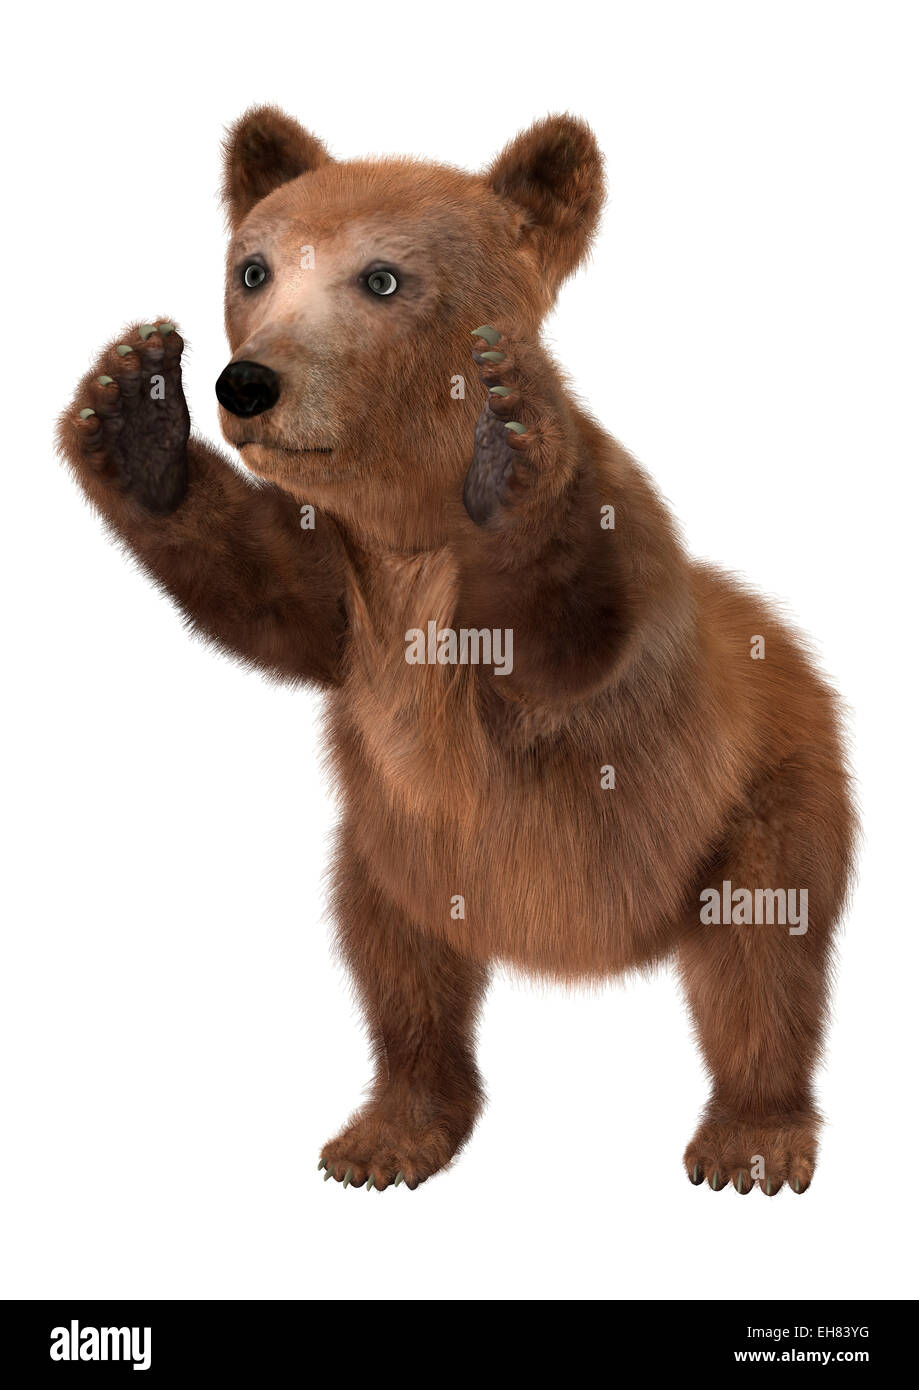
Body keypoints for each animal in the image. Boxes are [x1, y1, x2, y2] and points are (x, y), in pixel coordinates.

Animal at [58, 107, 855, 1195]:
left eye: (383, 278)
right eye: (254, 268)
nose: (249, 382)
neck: (413, 538)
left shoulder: (597, 603)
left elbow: (569, 625)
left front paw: (507, 448)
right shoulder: (352, 605)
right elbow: (264, 590)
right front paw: (134, 415)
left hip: (758, 799)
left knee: (760, 960)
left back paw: (752, 1136)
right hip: (400, 861)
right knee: (399, 972)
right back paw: (392, 1128)